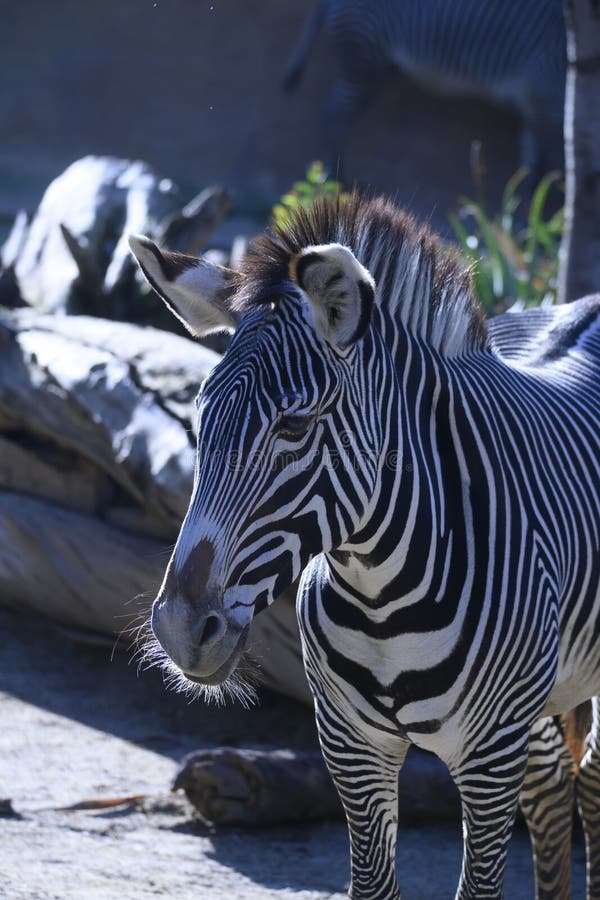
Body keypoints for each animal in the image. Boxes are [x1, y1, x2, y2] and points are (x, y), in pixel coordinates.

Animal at [129, 192, 600, 899]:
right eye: (199, 417)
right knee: (551, 787)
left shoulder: (489, 756)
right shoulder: (351, 746)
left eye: (295, 425)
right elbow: (372, 884)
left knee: (590, 780)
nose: (181, 630)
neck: (384, 596)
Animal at [285, 0, 566, 186]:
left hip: (375, 65)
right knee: (334, 114)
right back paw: (337, 183)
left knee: (338, 114)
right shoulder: (543, 97)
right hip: (364, 59)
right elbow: (541, 168)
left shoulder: (536, 103)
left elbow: (531, 162)